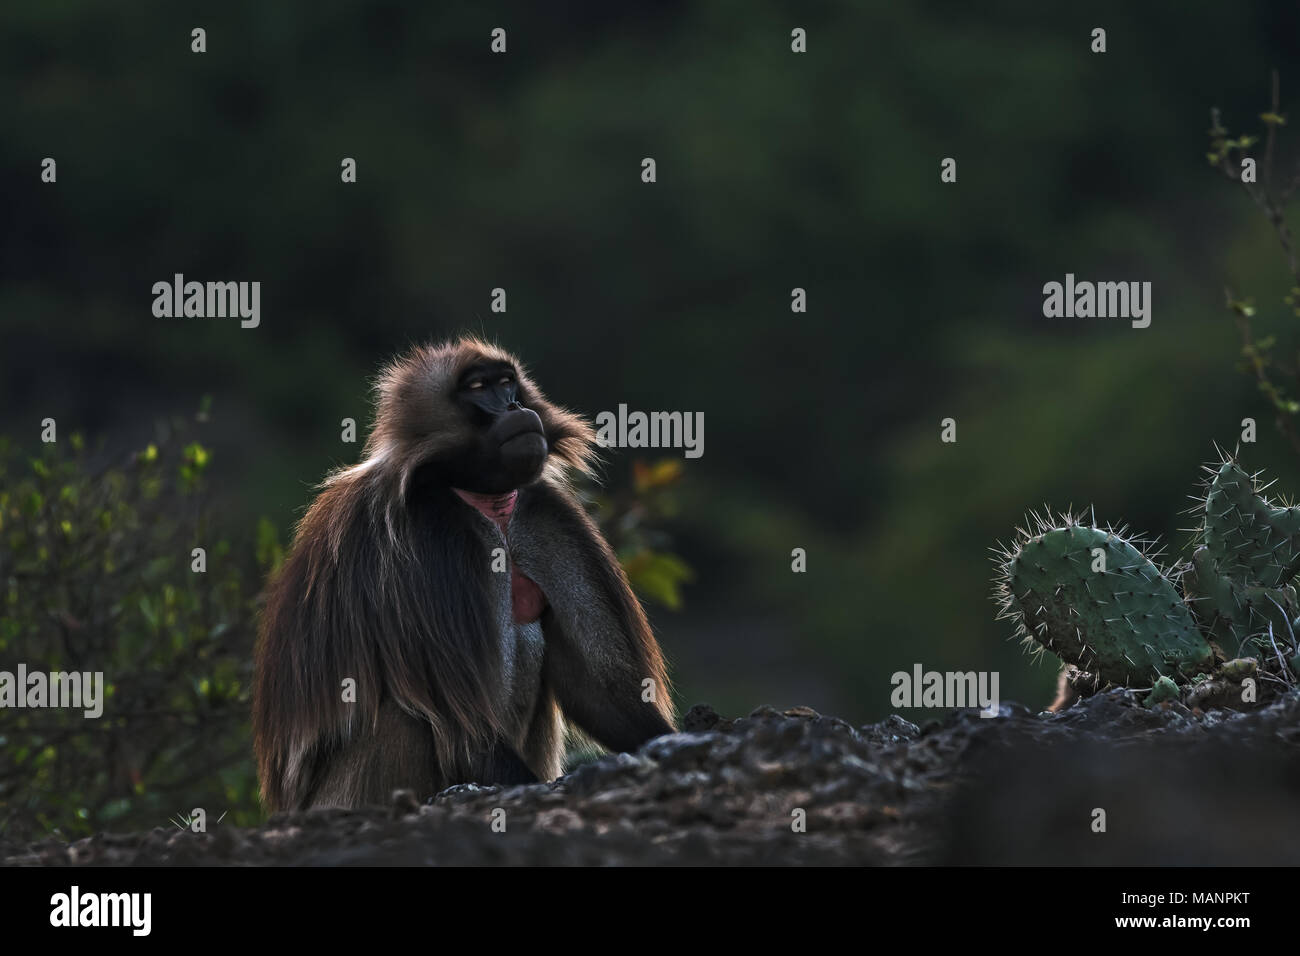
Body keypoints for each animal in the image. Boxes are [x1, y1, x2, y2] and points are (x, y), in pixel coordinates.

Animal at [252, 337, 677, 812]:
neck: (478, 500)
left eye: (507, 381)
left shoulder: (545, 514)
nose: (513, 406)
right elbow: (465, 728)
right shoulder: (425, 545)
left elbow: (600, 693)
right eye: (477, 387)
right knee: (407, 718)